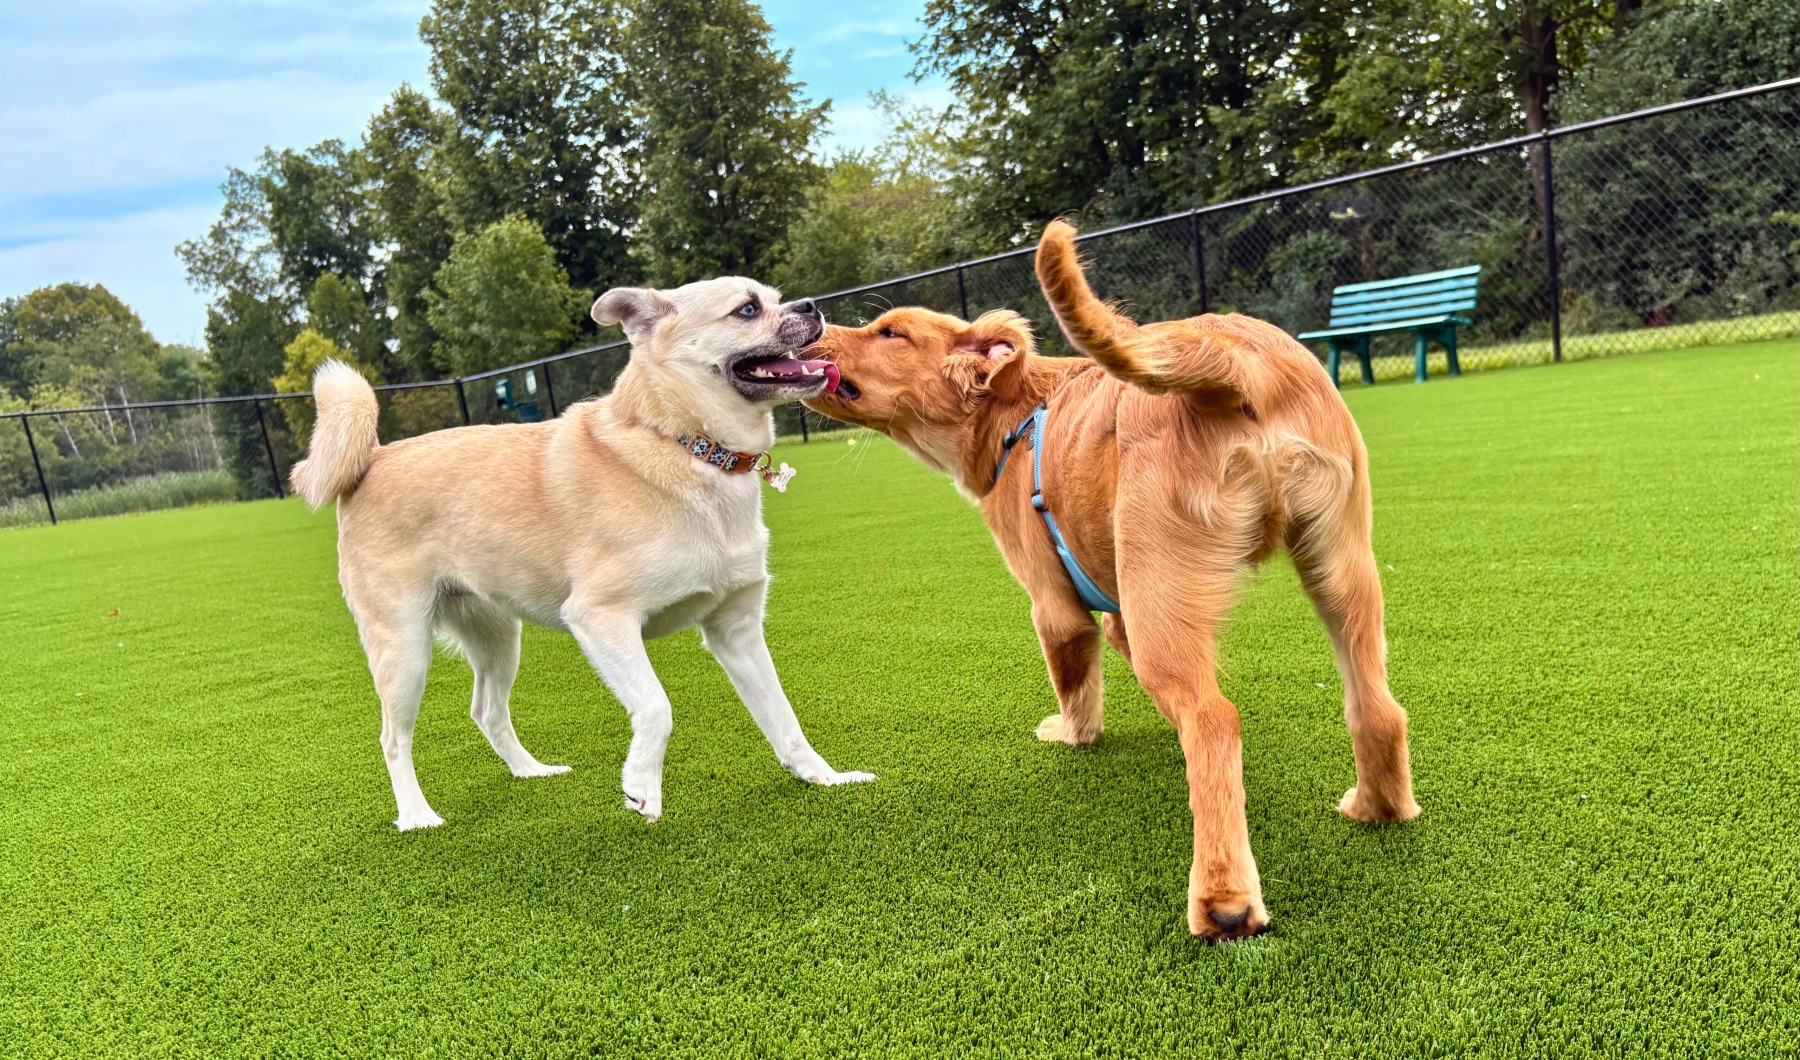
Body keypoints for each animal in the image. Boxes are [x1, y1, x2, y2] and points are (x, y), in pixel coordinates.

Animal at [293, 278, 873, 831]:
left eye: (777, 297)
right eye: (748, 309)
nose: (813, 306)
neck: (686, 446)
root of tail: (372, 458)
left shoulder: (736, 631)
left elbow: (784, 716)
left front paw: (824, 777)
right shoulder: (601, 619)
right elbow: (657, 707)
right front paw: (643, 787)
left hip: (497, 637)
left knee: (487, 711)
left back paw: (530, 771)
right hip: (404, 649)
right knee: (394, 739)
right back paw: (416, 816)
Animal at [802, 221, 1419, 939]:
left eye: (890, 332)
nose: (810, 320)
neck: (1014, 415)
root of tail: (1231, 353)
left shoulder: (1056, 608)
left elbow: (1077, 694)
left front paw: (1071, 735)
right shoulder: (1123, 604)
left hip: (1169, 596)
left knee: (1214, 720)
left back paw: (1224, 900)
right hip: (1339, 569)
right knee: (1377, 706)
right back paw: (1379, 806)